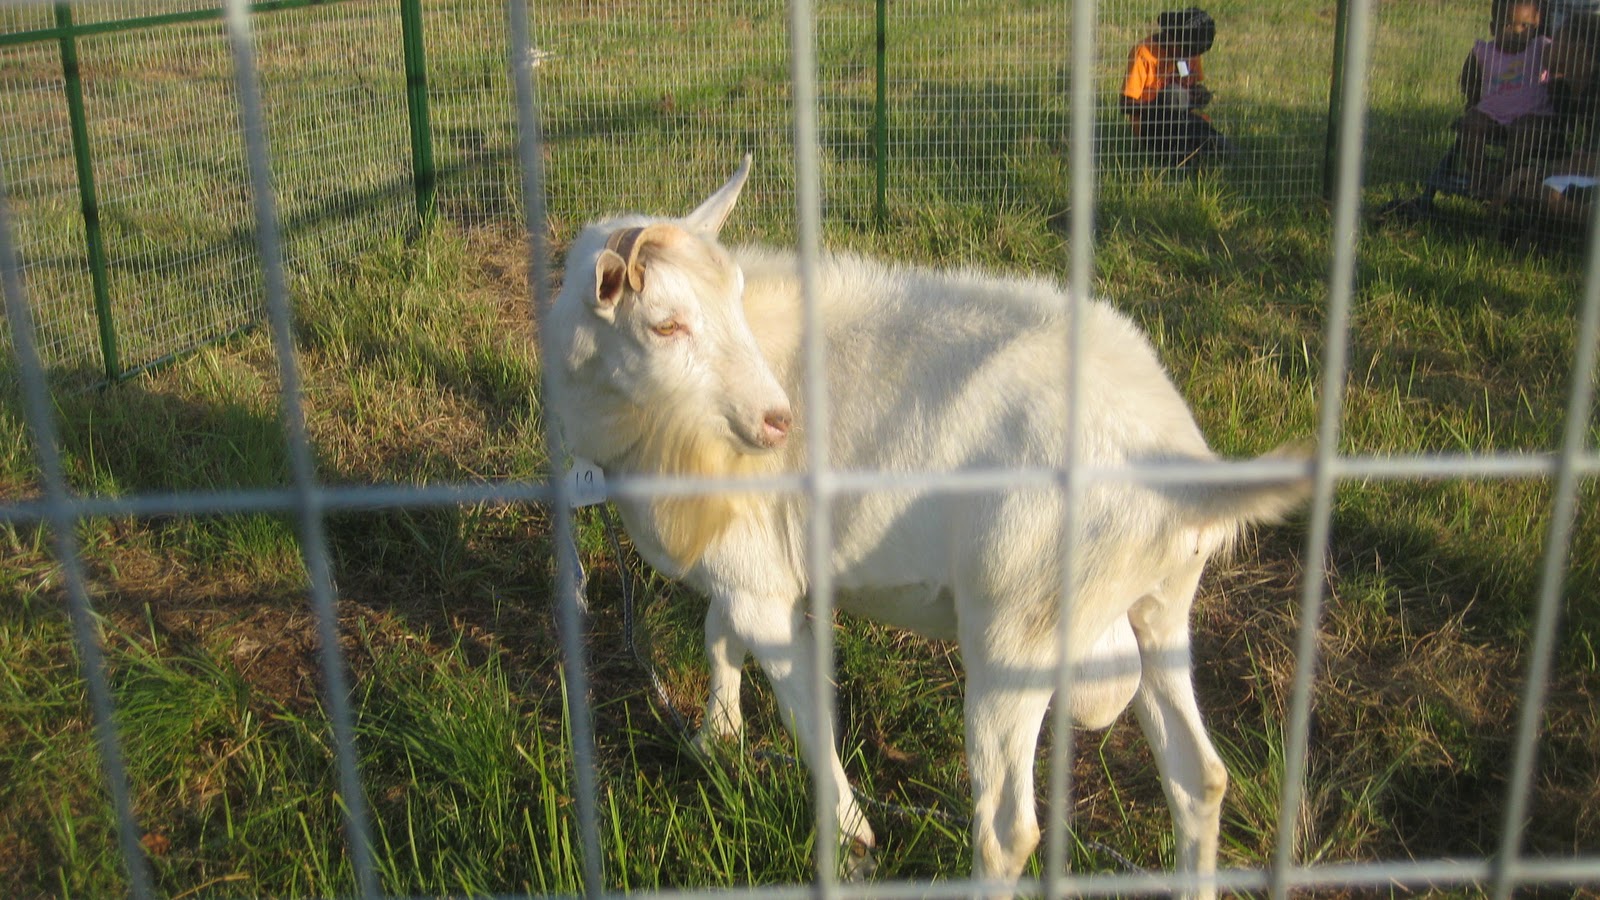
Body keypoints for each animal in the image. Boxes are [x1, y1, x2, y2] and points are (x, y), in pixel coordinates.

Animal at [542, 156, 1309, 897]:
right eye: (666, 324)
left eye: (731, 302)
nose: (776, 421)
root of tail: (1185, 471)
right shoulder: (743, 566)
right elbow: (716, 640)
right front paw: (716, 743)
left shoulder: (760, 587)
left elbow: (804, 714)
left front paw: (853, 843)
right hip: (1158, 606)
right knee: (1199, 777)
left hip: (1016, 631)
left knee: (1006, 831)